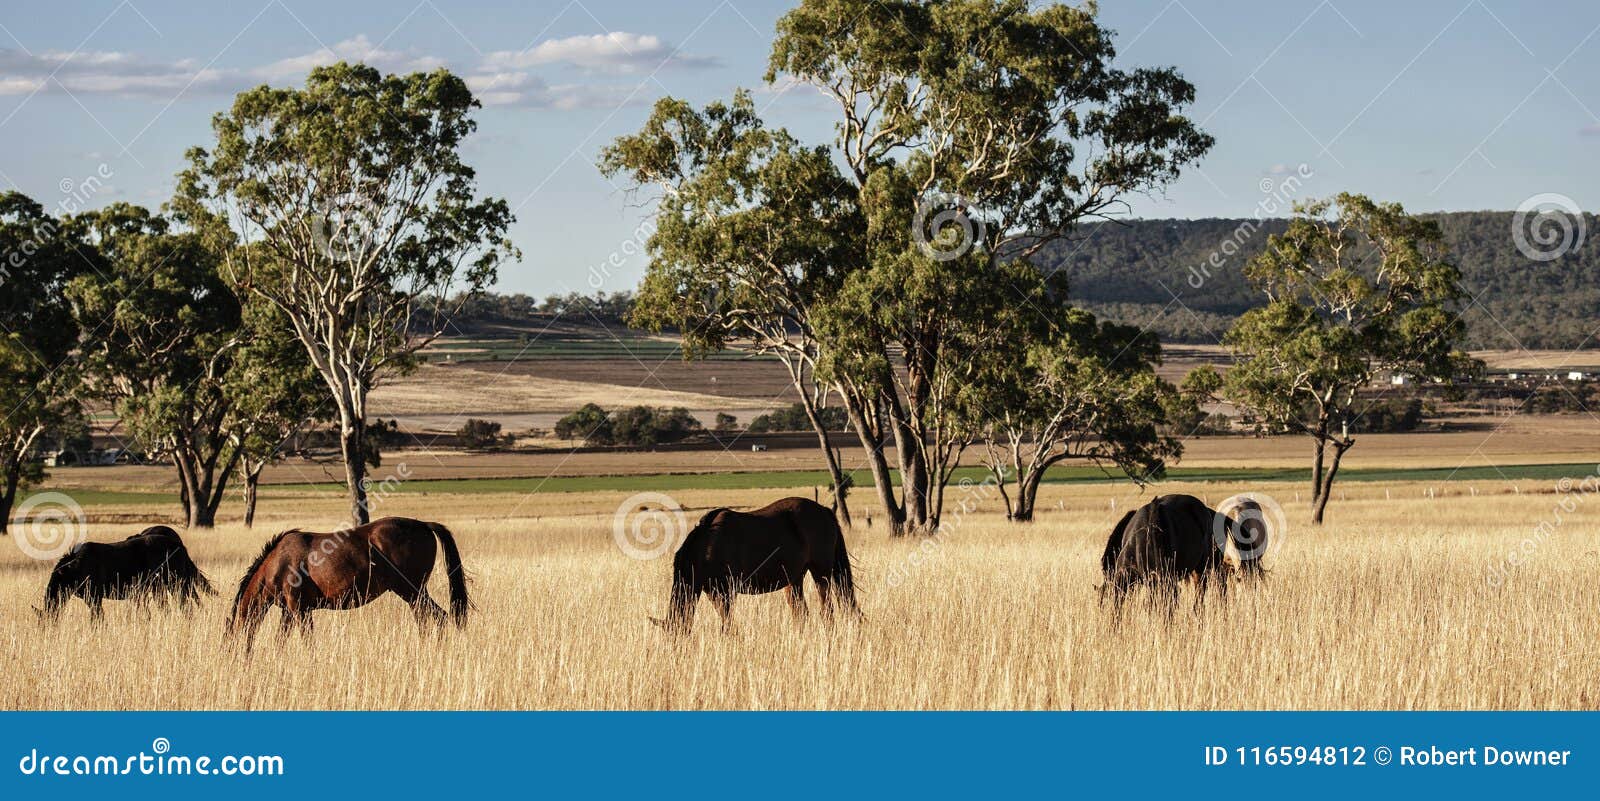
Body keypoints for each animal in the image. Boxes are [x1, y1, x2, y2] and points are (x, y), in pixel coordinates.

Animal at [38, 525, 214, 621]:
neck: (75, 568)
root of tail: (180, 546)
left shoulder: (94, 598)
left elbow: (98, 618)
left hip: (174, 585)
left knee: (185, 607)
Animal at [226, 517, 469, 651]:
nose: (237, 658)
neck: (278, 562)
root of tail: (424, 525)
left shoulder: (299, 609)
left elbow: (307, 639)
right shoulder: (290, 611)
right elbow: (281, 640)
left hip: (411, 590)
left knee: (436, 617)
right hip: (414, 593)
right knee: (429, 618)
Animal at [651, 496, 858, 635]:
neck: (707, 546)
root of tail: (824, 511)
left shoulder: (726, 592)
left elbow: (728, 624)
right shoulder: (712, 591)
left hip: (820, 573)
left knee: (827, 611)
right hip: (794, 579)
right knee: (801, 613)